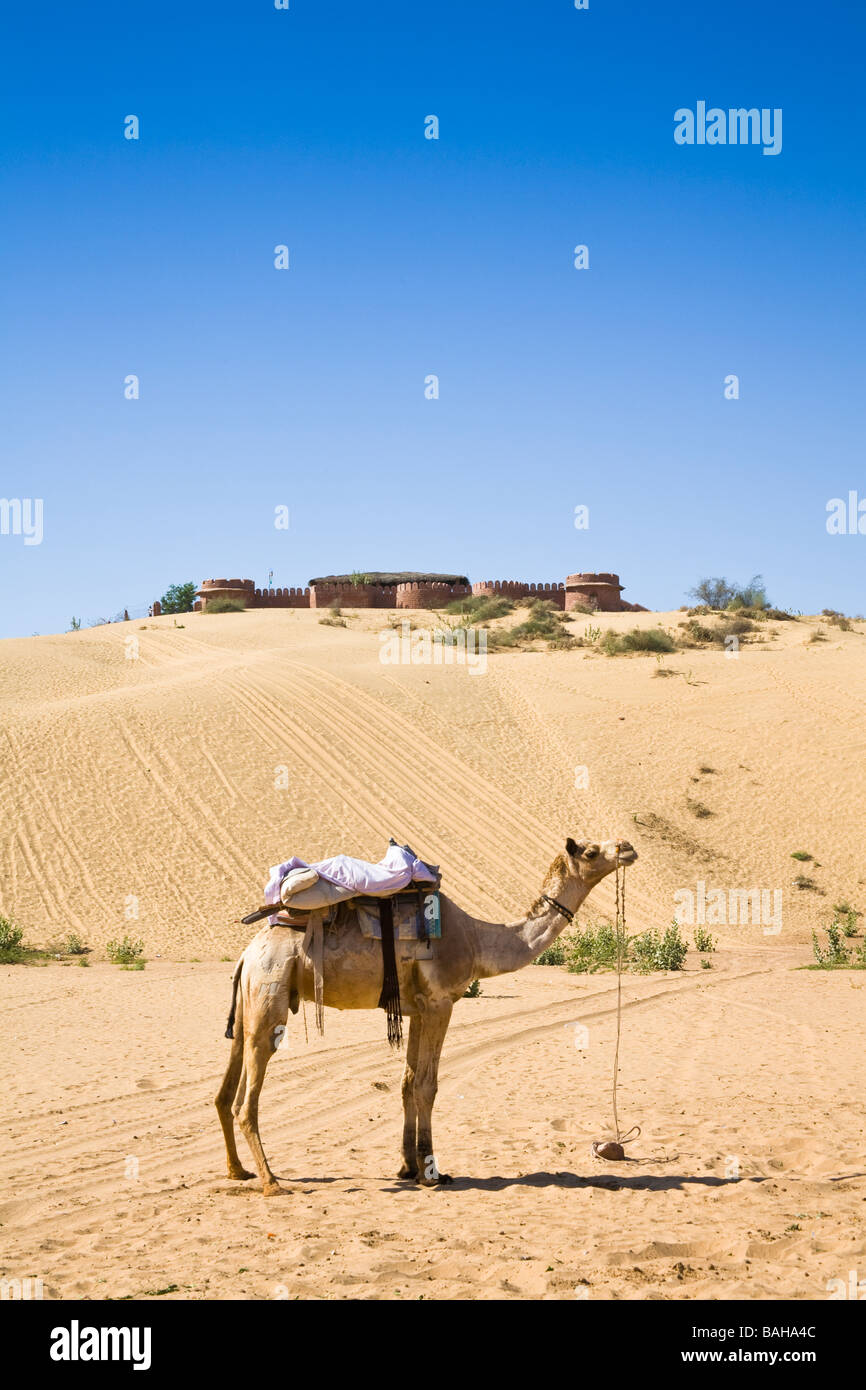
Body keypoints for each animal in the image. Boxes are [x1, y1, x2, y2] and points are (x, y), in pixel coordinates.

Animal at [215, 836, 637, 1196]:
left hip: (249, 1003)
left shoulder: (417, 1008)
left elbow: (407, 1083)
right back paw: (272, 1182)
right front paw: (432, 1173)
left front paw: (408, 1167)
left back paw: (238, 1171)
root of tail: (248, 953)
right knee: (245, 1100)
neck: (478, 940)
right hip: (269, 995)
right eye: (591, 851)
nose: (627, 847)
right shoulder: (440, 1002)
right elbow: (427, 1086)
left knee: (225, 1091)